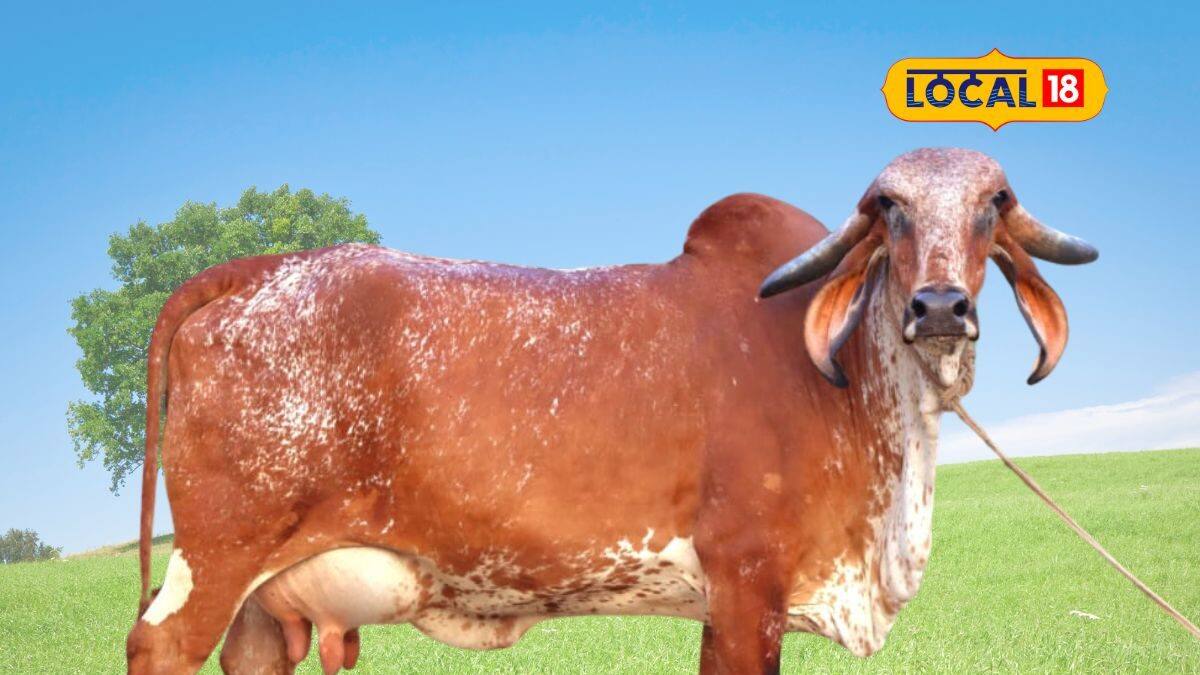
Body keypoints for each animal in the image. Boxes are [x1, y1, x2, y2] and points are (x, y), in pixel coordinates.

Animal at [126, 148, 1098, 674]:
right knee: (155, 644)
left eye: (994, 205)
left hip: (263, 603)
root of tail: (260, 267)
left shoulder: (728, 603)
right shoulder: (748, 585)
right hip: (217, 559)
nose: (938, 306)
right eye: (887, 209)